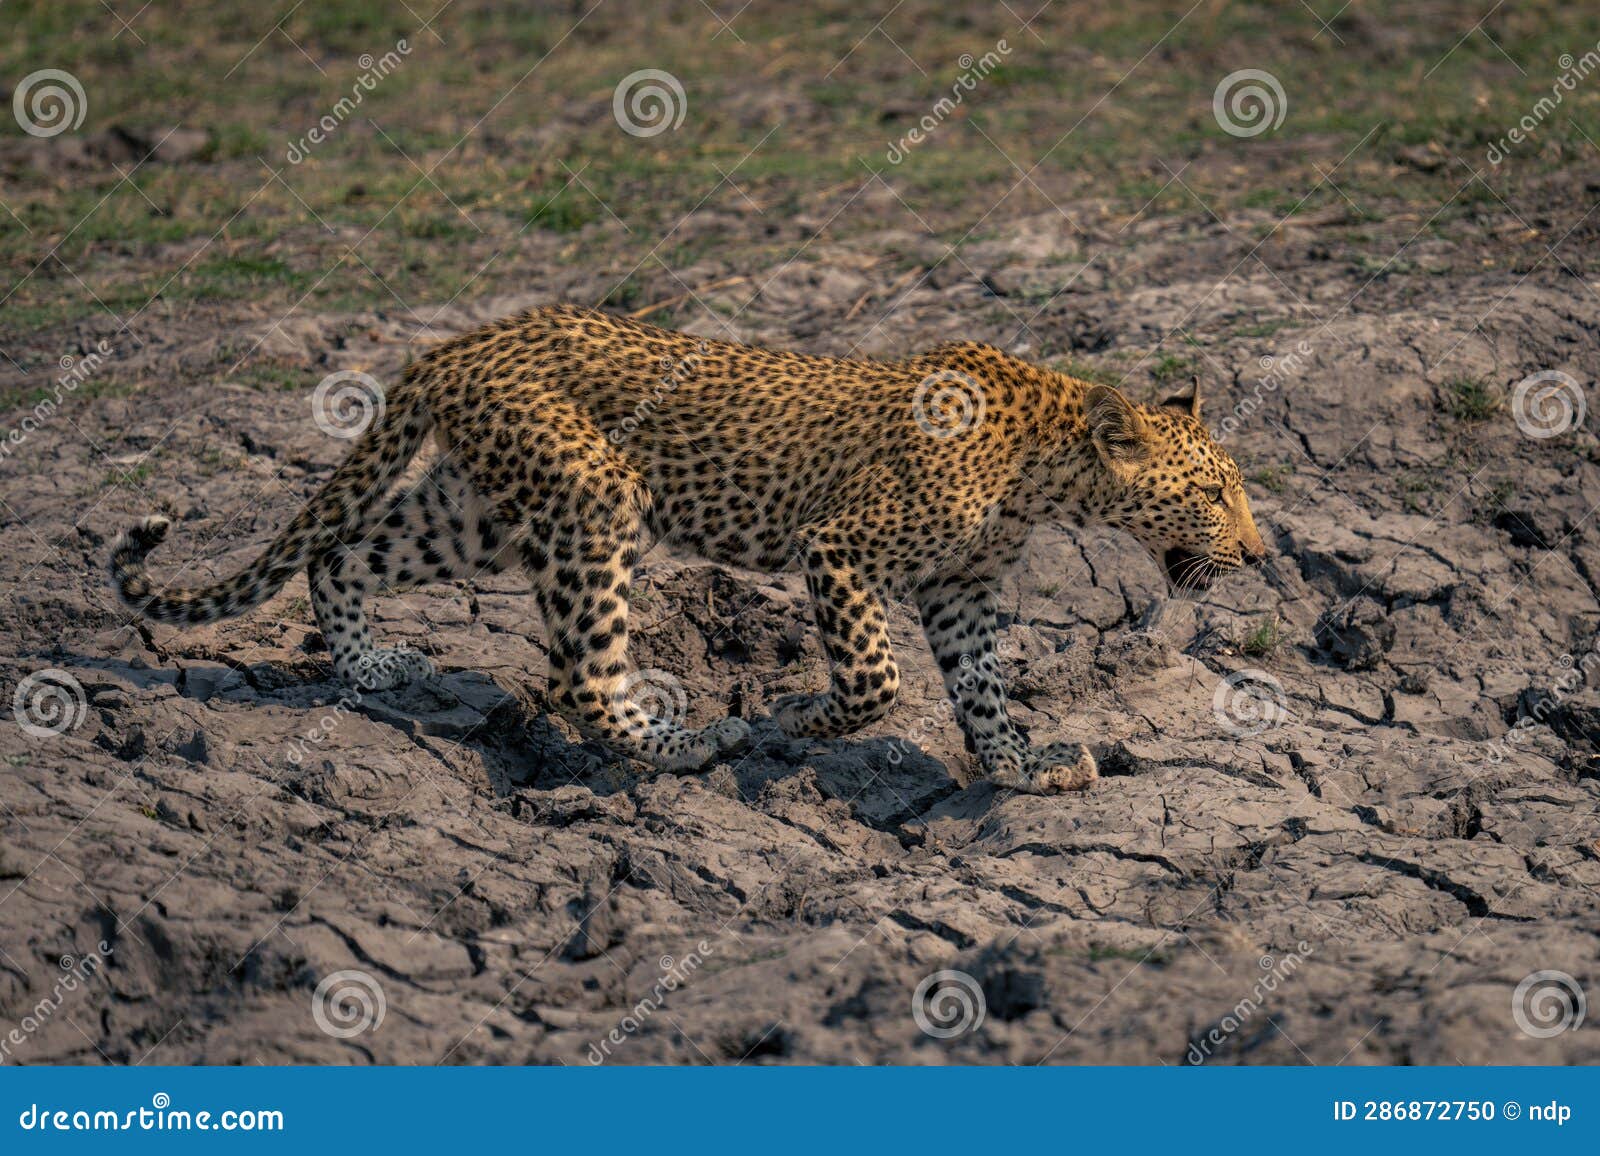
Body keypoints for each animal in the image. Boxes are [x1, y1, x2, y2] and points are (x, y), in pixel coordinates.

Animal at [111, 304, 1267, 794]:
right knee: (581, 673)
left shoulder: (962, 587)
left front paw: (1023, 767)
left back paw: (368, 666)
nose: (1258, 557)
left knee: (343, 554)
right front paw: (797, 716)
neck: (1046, 466)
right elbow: (876, 678)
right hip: (596, 496)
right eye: (1214, 492)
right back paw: (685, 740)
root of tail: (464, 339)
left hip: (480, 509)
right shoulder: (840, 544)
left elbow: (981, 686)